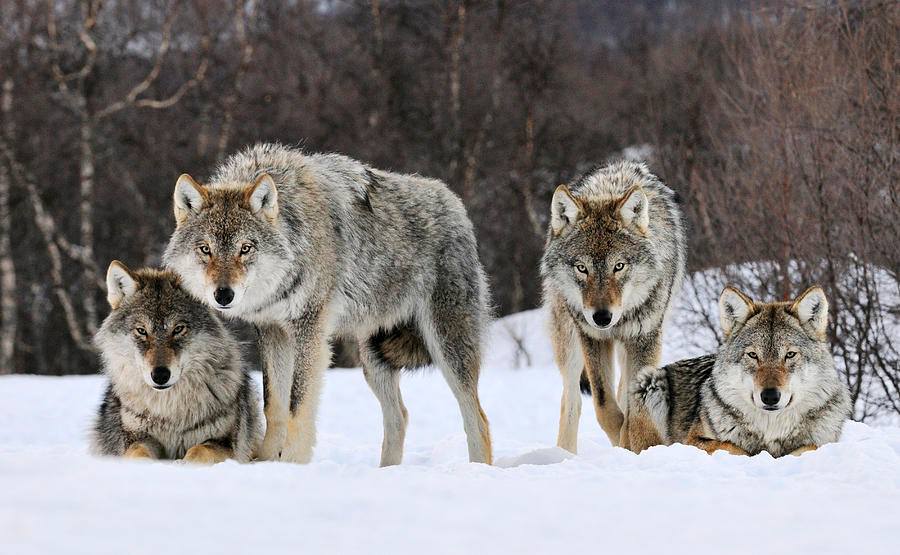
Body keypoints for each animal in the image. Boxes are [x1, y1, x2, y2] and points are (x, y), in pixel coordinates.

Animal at [92, 261, 262, 463]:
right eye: (141, 331)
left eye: (178, 329)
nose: (160, 375)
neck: (170, 411)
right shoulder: (137, 437)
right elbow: (137, 453)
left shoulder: (225, 443)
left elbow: (199, 451)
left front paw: (184, 464)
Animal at [163, 143, 492, 466]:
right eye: (205, 249)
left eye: (245, 248)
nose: (223, 295)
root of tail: (455, 203)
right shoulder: (272, 331)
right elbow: (274, 405)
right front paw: (266, 461)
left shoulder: (310, 330)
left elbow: (297, 405)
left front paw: (292, 463)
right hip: (373, 359)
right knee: (399, 416)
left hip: (447, 347)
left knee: (478, 418)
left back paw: (477, 468)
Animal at [541, 161, 685, 452]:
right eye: (581, 268)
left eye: (619, 266)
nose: (602, 317)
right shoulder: (592, 338)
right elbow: (604, 406)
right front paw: (622, 441)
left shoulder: (645, 338)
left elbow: (632, 405)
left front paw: (633, 444)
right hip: (569, 342)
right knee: (571, 400)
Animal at [628, 285, 851, 456]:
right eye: (753, 355)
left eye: (789, 355)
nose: (770, 396)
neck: (771, 430)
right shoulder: (693, 440)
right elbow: (733, 447)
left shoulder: (824, 442)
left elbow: (809, 447)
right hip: (650, 382)